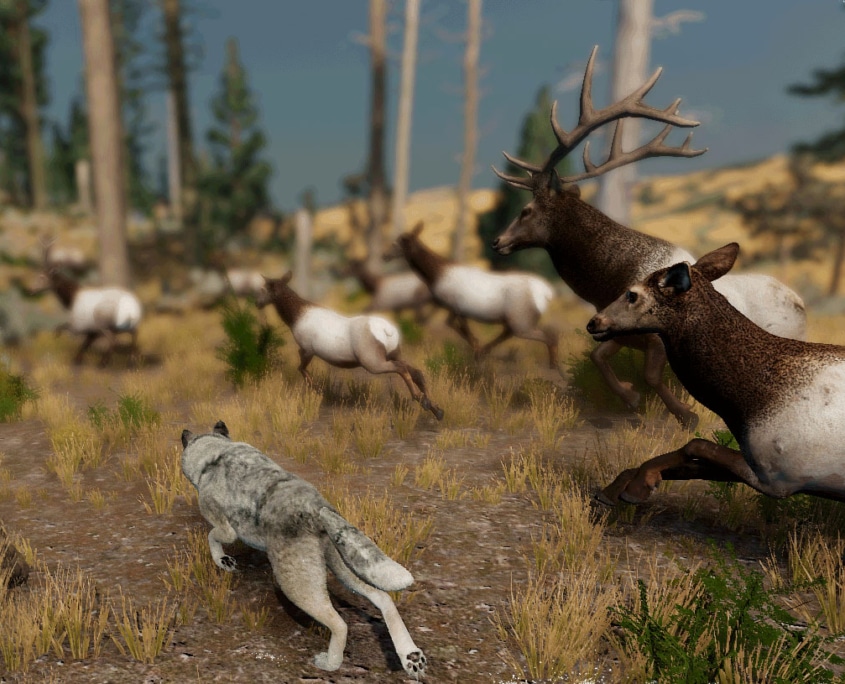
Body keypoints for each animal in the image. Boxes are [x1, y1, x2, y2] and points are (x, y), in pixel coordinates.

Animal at [180, 421, 427, 678]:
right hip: (339, 565)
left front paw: (223, 561)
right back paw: (411, 657)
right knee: (383, 598)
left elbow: (213, 536)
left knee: (340, 624)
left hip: (296, 584)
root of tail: (318, 506)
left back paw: (328, 663)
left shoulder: (224, 526)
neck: (214, 452)